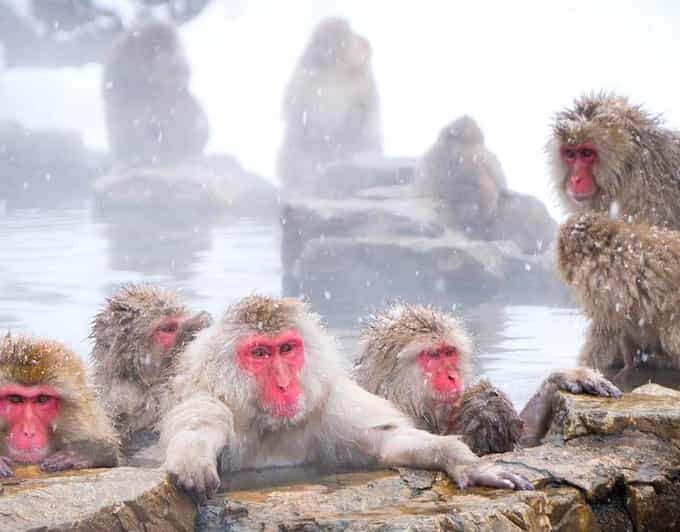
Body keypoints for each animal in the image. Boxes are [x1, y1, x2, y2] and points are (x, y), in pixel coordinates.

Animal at [160, 295, 533, 501]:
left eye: (287, 349)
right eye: (260, 353)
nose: (284, 383)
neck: (271, 425)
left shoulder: (330, 406)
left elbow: (387, 440)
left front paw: (465, 461)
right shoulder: (207, 397)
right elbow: (199, 424)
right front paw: (194, 456)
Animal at [277, 17, 383, 195]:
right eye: (350, 35)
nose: (365, 41)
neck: (336, 72)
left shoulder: (365, 83)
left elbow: (364, 112)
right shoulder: (304, 80)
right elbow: (296, 113)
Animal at [353, 304, 622, 453]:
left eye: (448, 352)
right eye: (432, 355)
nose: (452, 376)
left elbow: (524, 440)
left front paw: (564, 378)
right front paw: (482, 410)